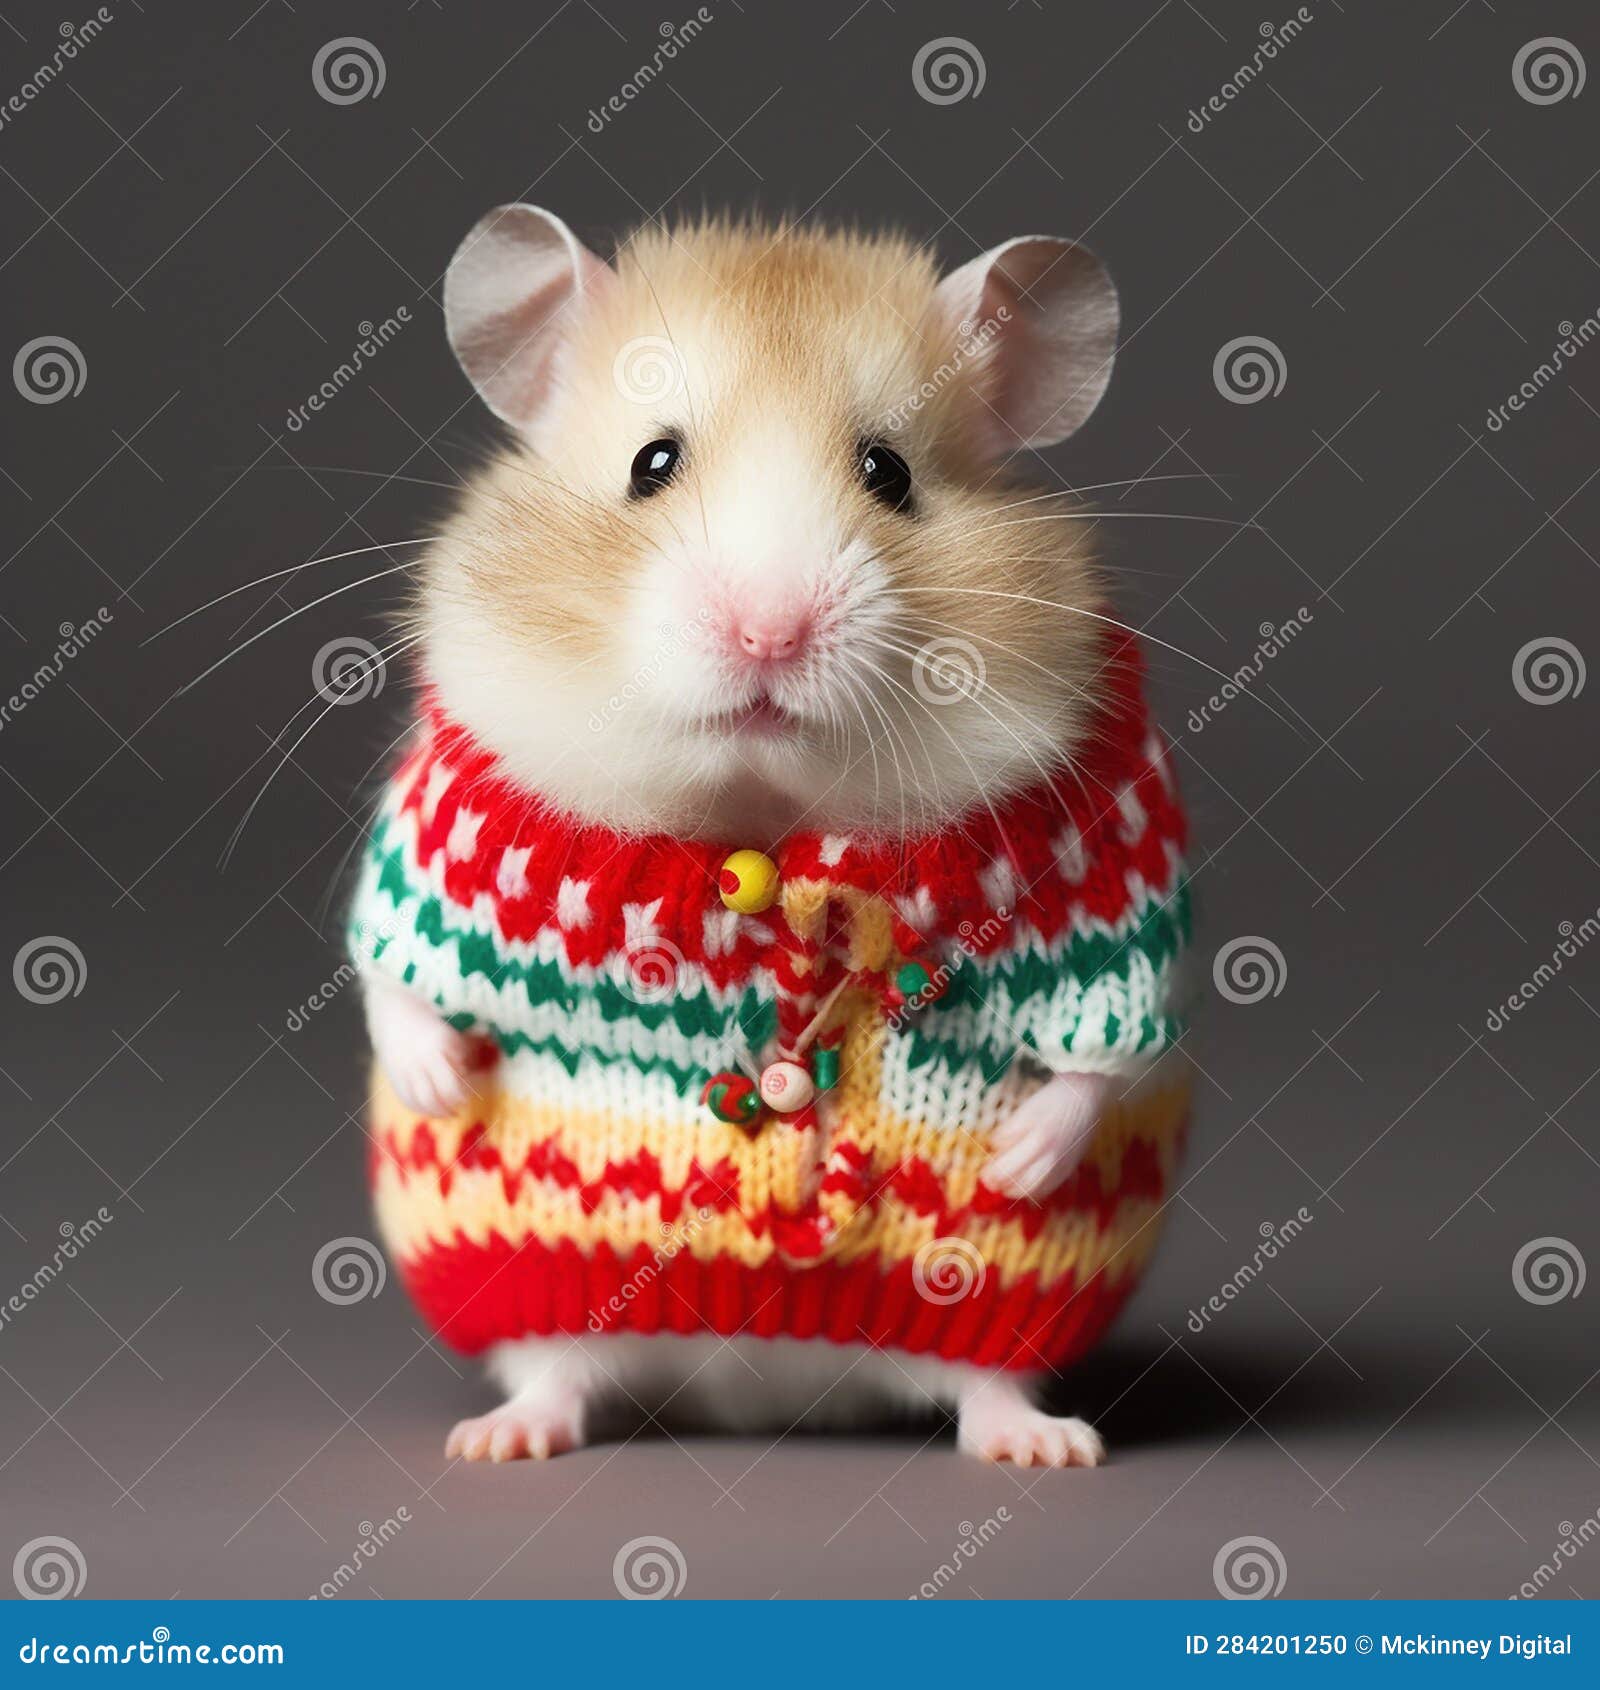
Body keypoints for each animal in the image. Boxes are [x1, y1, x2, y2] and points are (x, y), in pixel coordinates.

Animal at [356, 208, 1189, 1468]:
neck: (761, 805)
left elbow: (1102, 1039)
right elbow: (392, 964)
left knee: (984, 1377)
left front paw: (1023, 1158)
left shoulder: (1105, 864)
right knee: (559, 1367)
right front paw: (442, 1084)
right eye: (651, 463)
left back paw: (1045, 1443)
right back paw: (500, 1440)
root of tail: (762, 1394)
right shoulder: (454, 823)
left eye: (890, 472)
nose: (768, 632)